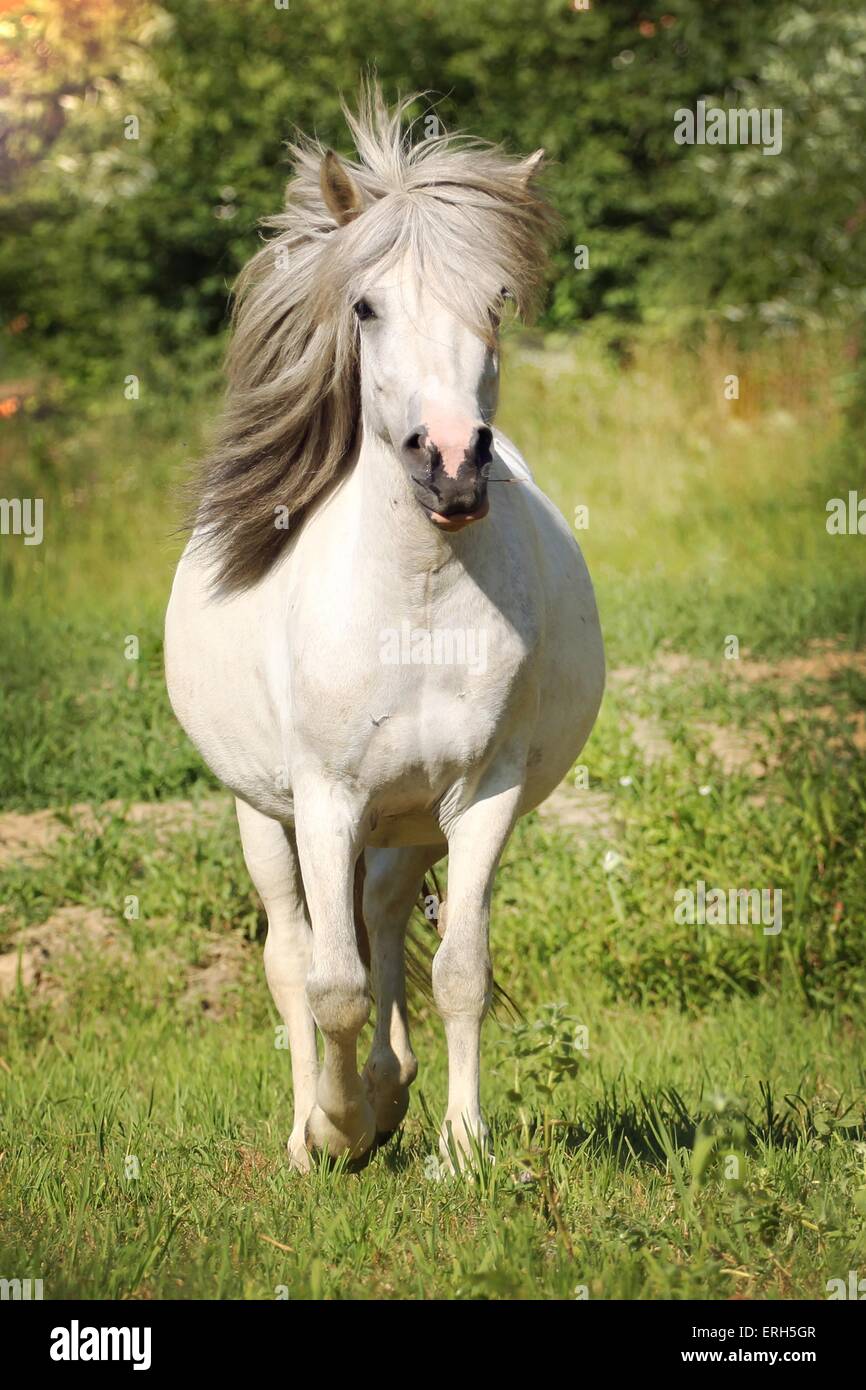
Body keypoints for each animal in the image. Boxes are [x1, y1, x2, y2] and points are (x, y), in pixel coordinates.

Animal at [165, 86, 604, 1172]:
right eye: (364, 306)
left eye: (496, 299)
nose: (448, 462)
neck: (416, 610)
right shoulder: (324, 800)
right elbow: (329, 984)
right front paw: (332, 1131)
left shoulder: (479, 797)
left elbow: (457, 971)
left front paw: (459, 1145)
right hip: (267, 814)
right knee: (293, 953)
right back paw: (315, 1127)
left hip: (405, 824)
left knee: (380, 917)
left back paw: (391, 1089)